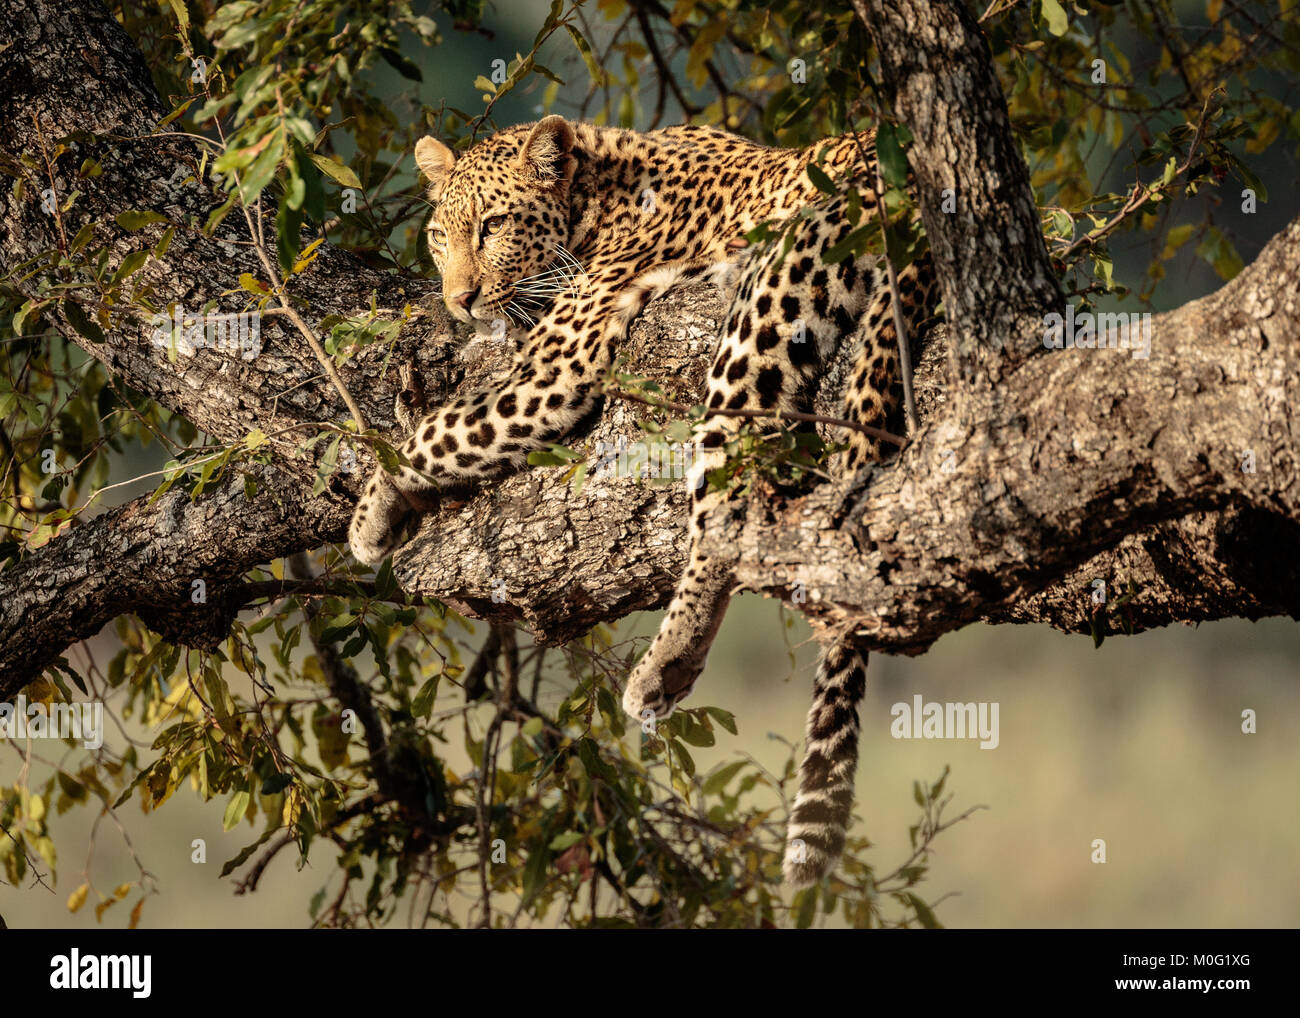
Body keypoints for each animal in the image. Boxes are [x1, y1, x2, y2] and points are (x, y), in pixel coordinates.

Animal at [347, 115, 939, 888]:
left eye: (494, 226)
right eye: (440, 235)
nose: (458, 301)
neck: (597, 190)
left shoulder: (553, 367)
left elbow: (436, 432)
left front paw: (369, 516)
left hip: (763, 314)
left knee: (728, 511)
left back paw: (663, 669)